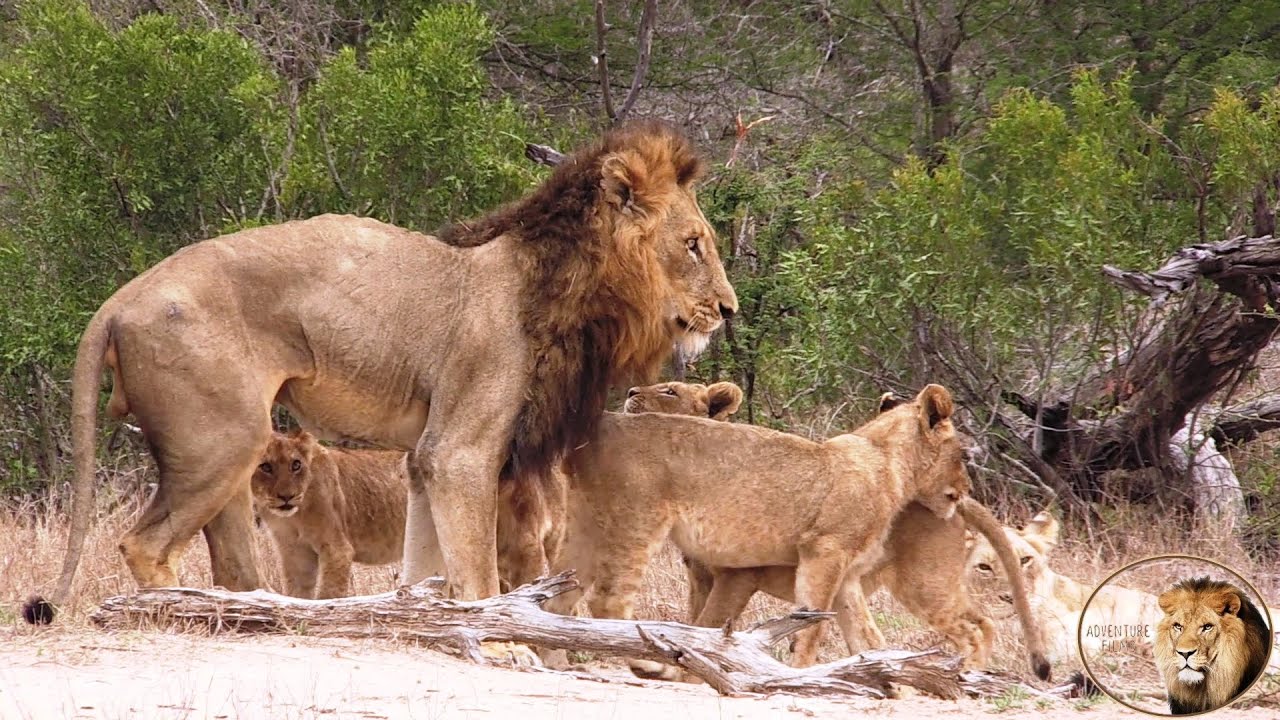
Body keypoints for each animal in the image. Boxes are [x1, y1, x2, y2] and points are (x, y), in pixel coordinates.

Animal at [32, 120, 736, 622]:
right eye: (694, 244)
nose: (727, 309)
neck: (559, 284)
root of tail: (119, 301)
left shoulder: (424, 460)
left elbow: (424, 570)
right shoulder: (459, 451)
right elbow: (479, 575)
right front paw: (508, 644)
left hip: (226, 452)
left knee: (231, 567)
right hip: (222, 439)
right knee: (146, 545)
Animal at [549, 384, 972, 671]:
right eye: (963, 455)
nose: (967, 490)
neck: (889, 465)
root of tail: (603, 422)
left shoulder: (846, 572)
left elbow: (867, 633)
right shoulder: (824, 551)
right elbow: (812, 624)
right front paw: (800, 673)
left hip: (584, 524)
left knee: (559, 594)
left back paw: (552, 660)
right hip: (637, 521)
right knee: (608, 599)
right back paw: (644, 662)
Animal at [620, 385, 1049, 680]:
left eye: (670, 391)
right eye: (961, 455)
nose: (629, 394)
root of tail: (961, 509)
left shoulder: (801, 559)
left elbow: (794, 626)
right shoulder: (833, 568)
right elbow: (697, 623)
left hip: (925, 585)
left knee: (979, 626)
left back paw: (965, 674)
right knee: (898, 637)